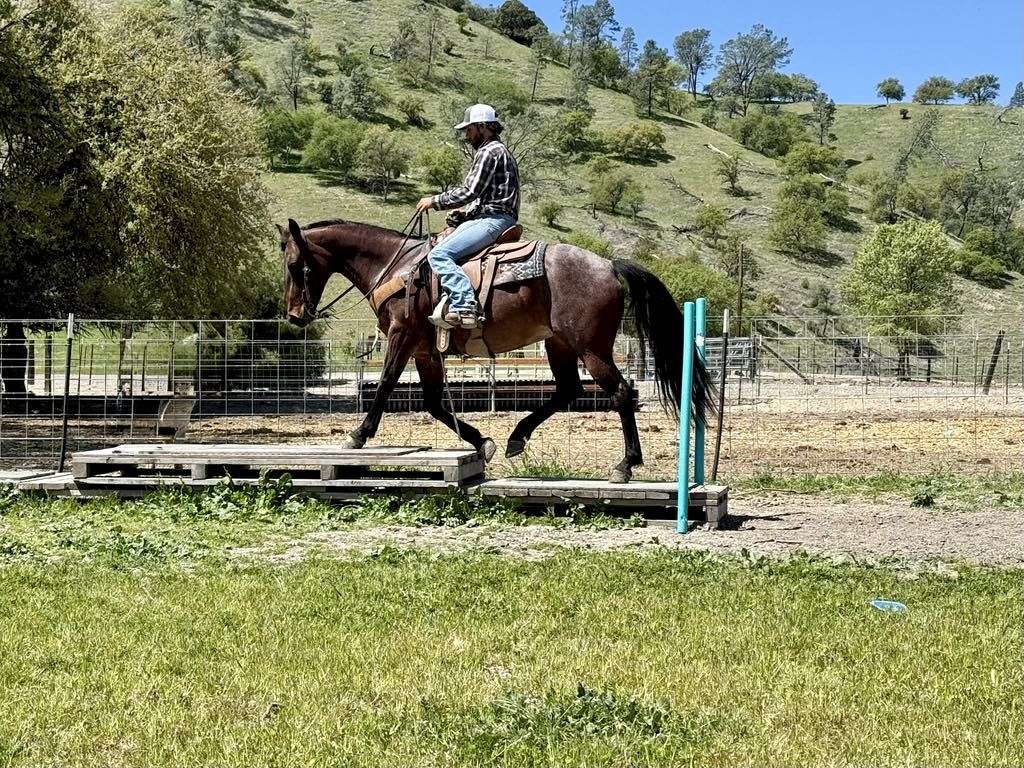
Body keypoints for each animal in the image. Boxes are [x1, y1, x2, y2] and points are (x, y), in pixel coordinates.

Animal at [280, 217, 711, 483]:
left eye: (295, 265)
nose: (294, 314)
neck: (395, 266)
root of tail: (608, 265)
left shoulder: (403, 336)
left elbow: (386, 384)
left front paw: (357, 436)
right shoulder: (425, 351)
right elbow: (433, 403)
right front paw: (482, 442)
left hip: (592, 349)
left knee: (620, 393)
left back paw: (625, 465)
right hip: (558, 344)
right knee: (567, 390)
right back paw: (516, 438)